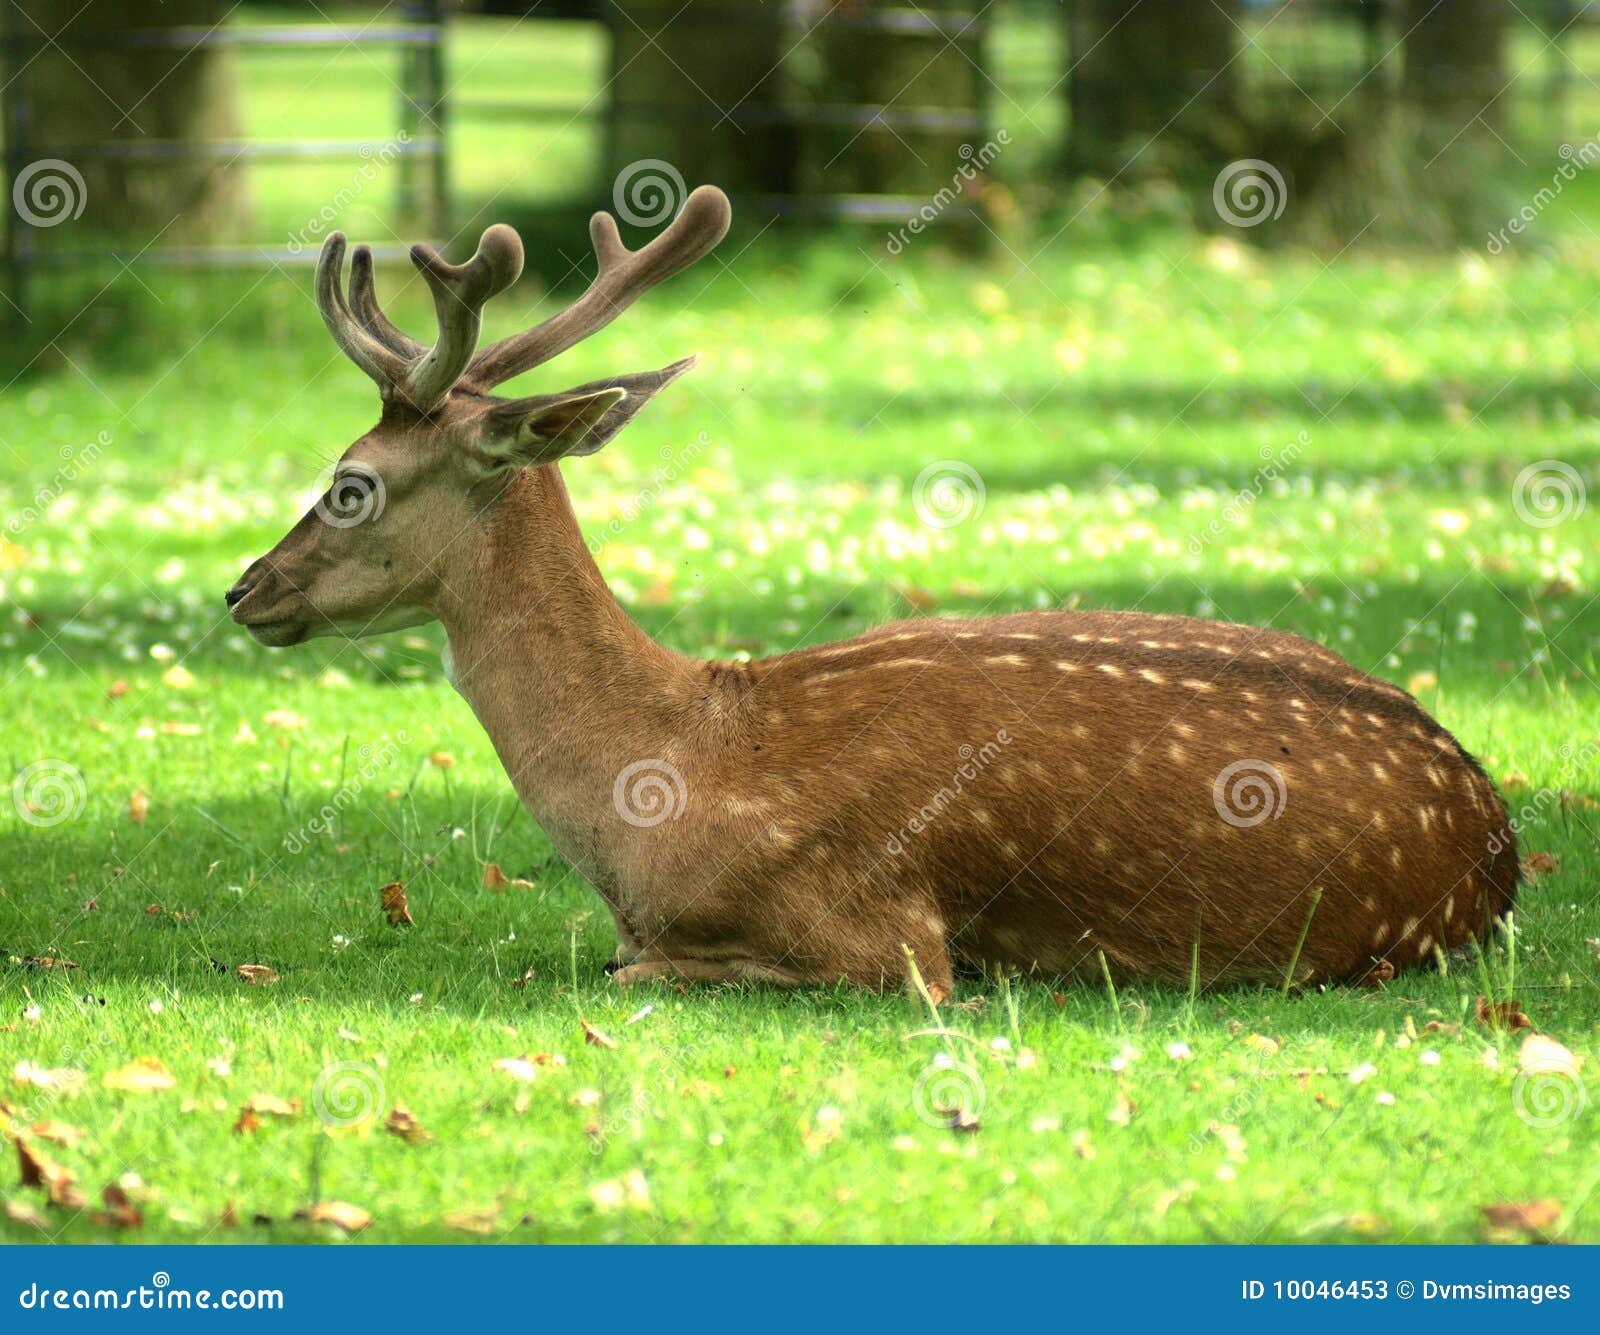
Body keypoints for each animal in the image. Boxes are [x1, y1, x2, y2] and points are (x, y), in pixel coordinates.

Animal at [227, 183, 1518, 996]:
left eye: (350, 482)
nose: (244, 590)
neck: (663, 783)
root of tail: (1499, 842)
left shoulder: (877, 931)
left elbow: (638, 965)